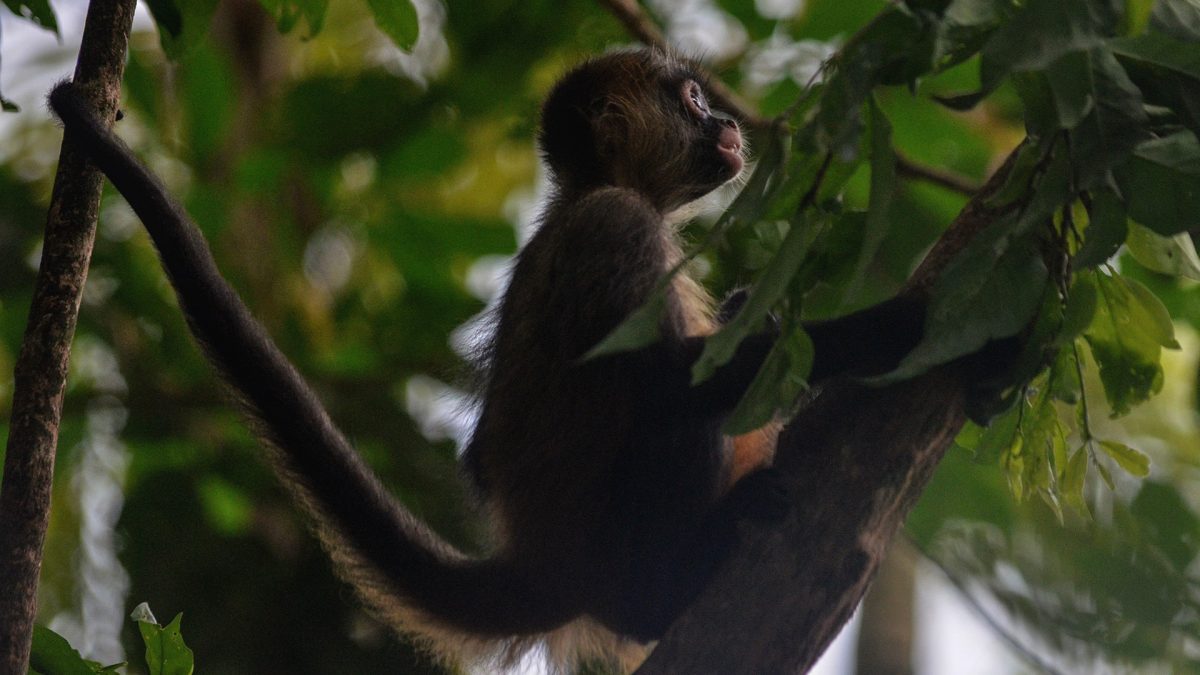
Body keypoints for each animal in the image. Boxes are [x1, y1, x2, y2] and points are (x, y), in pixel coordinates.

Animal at [49, 48, 926, 670]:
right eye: (693, 101)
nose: (729, 127)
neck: (586, 193)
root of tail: (543, 561)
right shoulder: (614, 225)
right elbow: (676, 384)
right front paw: (911, 327)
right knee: (668, 417)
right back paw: (671, 585)